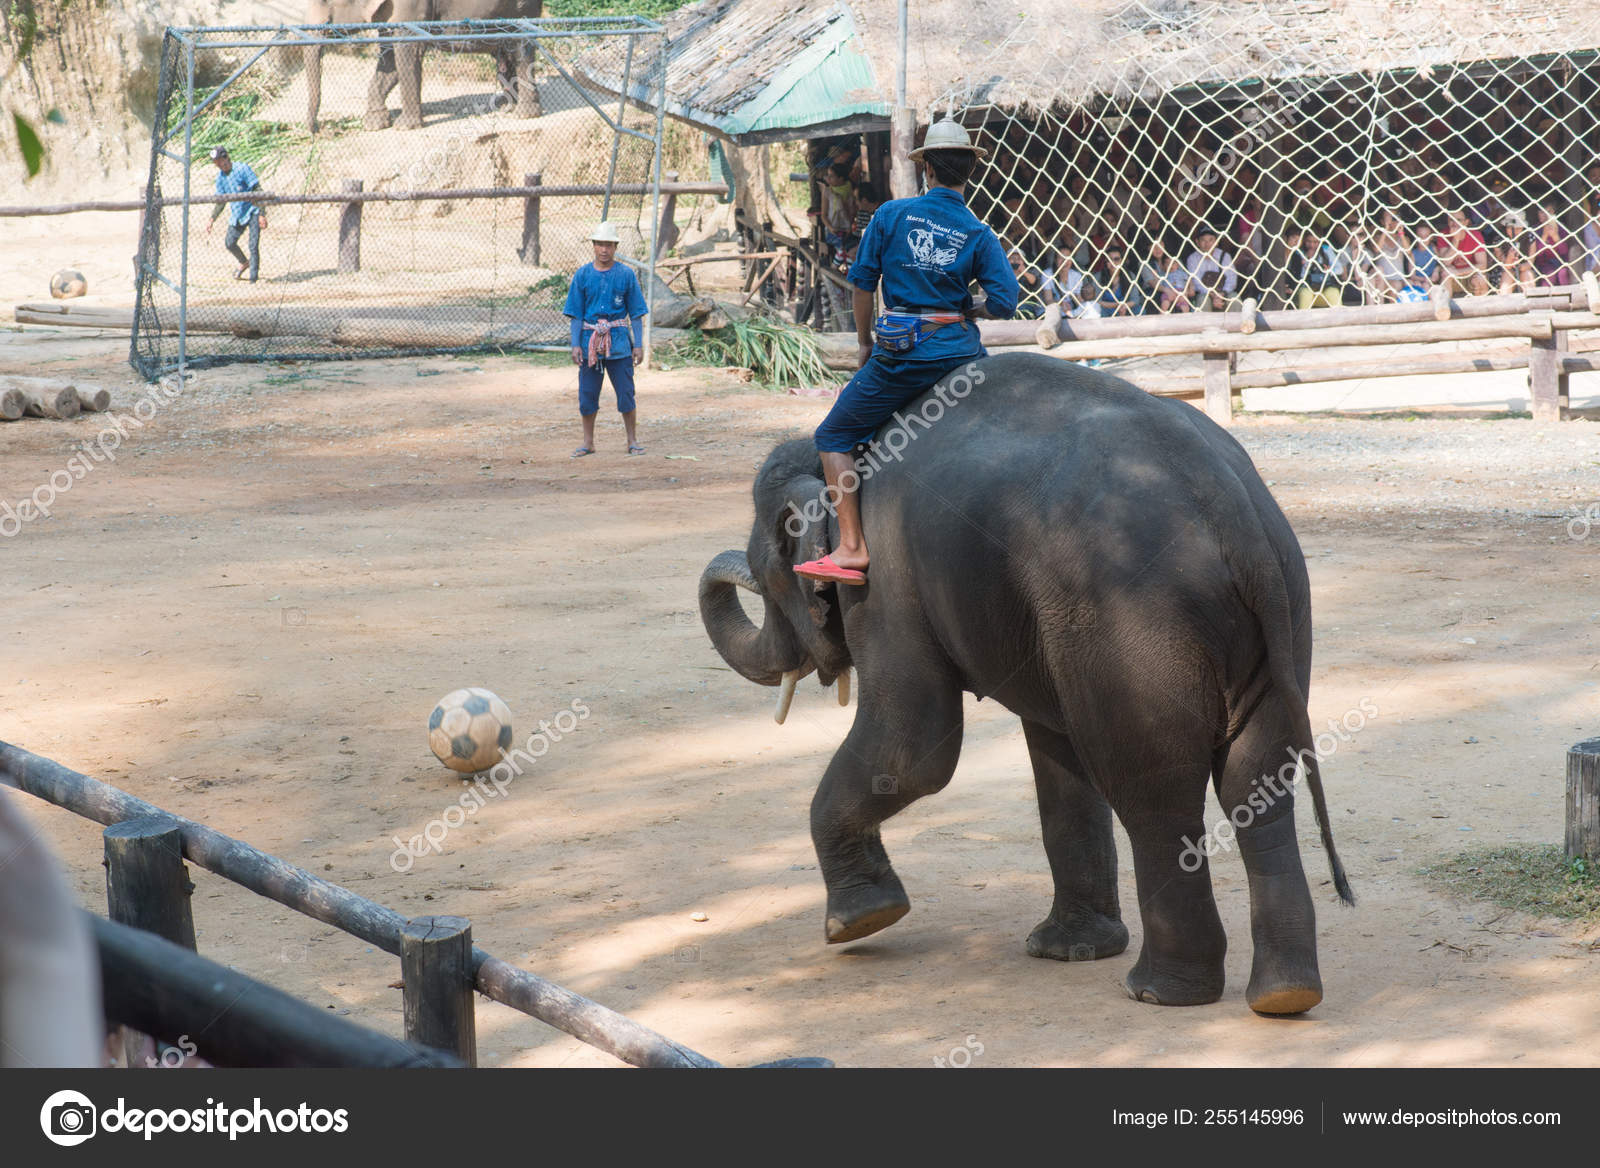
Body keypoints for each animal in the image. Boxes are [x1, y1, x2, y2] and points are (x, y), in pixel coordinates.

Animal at [304, 0, 542, 134]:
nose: (318, 130)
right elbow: (389, 61)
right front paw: (373, 124)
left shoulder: (411, 7)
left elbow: (407, 53)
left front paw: (403, 127)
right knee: (505, 54)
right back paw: (507, 107)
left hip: (523, 10)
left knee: (521, 49)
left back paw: (524, 114)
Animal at [698, 353, 1354, 1015]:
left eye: (764, 570)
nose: (732, 570)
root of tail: (1237, 517)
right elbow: (1056, 755)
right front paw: (1069, 950)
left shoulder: (883, 582)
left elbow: (913, 751)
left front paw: (859, 922)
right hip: (1277, 617)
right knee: (1258, 782)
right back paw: (1284, 995)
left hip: (1135, 620)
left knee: (1153, 790)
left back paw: (1158, 991)